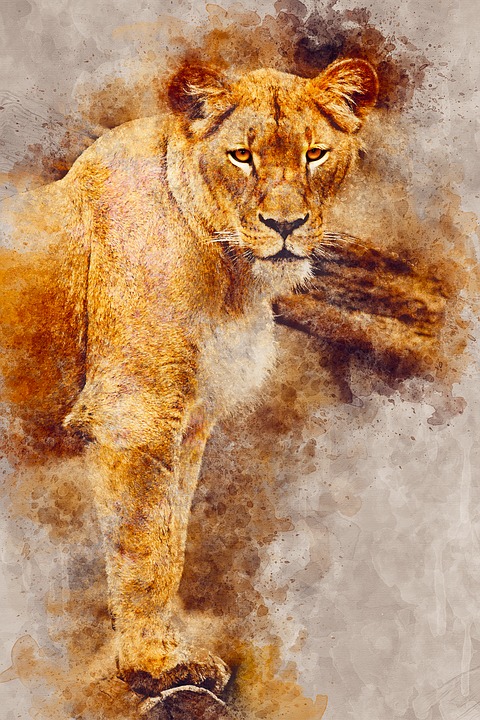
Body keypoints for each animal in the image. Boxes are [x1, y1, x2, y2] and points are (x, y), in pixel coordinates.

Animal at [0, 58, 378, 699]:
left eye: (315, 154)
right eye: (242, 156)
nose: (285, 225)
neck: (232, 277)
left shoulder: (190, 424)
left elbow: (173, 540)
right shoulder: (135, 416)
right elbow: (145, 549)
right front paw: (154, 666)